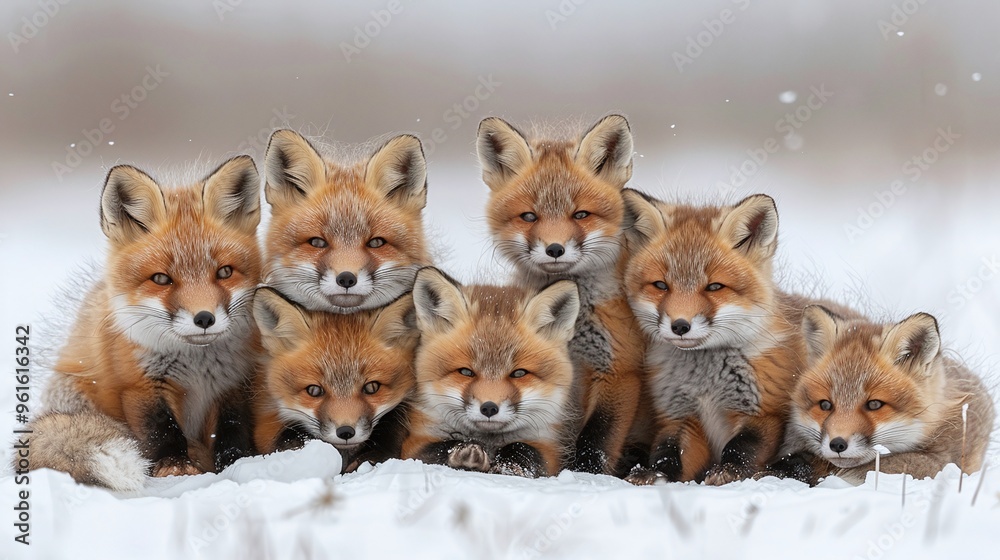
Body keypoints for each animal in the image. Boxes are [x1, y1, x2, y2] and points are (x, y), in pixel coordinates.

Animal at [27, 157, 263, 491]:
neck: (198, 367)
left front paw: (238, 462)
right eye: (161, 279)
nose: (204, 318)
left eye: (225, 272)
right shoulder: (140, 386)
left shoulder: (234, 384)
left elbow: (232, 429)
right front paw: (175, 466)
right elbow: (161, 430)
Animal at [401, 267, 581, 478]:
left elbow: (523, 448)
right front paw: (465, 451)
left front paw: (510, 464)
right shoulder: (414, 443)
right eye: (466, 372)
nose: (488, 408)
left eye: (519, 373)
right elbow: (439, 448)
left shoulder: (548, 450)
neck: (489, 441)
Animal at [476, 115, 647, 475]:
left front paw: (585, 477)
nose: (555, 249)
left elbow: (596, 440)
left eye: (581, 214)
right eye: (529, 216)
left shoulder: (618, 369)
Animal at [621, 190, 827, 485]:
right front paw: (655, 473)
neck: (706, 384)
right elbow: (670, 450)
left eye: (715, 287)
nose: (680, 326)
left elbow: (742, 447)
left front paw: (729, 472)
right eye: (660, 285)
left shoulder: (765, 412)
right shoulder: (681, 415)